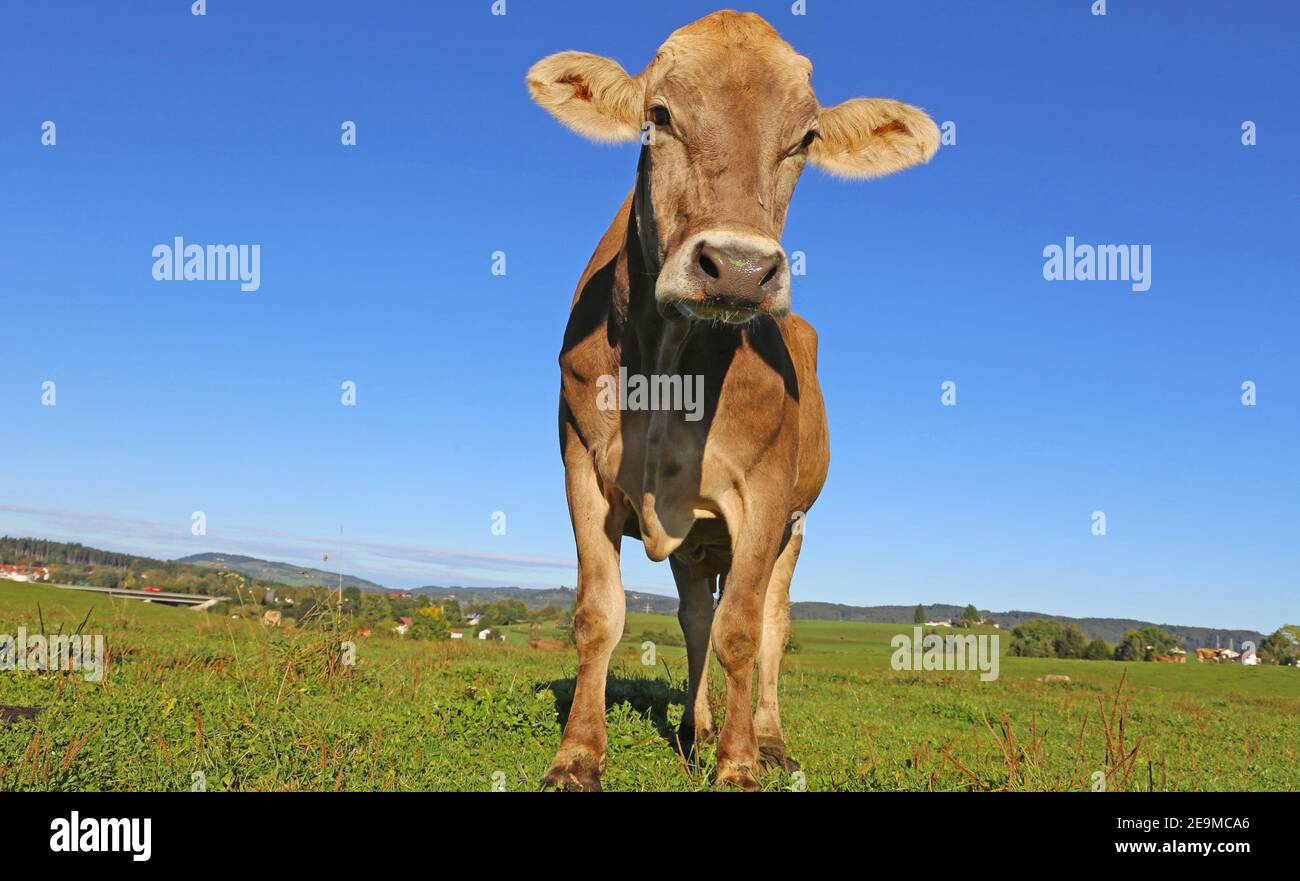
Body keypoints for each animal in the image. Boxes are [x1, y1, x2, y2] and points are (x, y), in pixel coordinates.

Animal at [526, 10, 938, 790]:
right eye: (658, 116)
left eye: (805, 137)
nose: (741, 269)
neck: (667, 368)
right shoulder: (581, 465)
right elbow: (600, 614)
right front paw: (577, 754)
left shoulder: (766, 492)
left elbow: (744, 631)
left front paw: (741, 763)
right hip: (694, 539)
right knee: (694, 620)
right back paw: (697, 729)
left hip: (793, 528)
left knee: (770, 624)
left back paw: (766, 739)